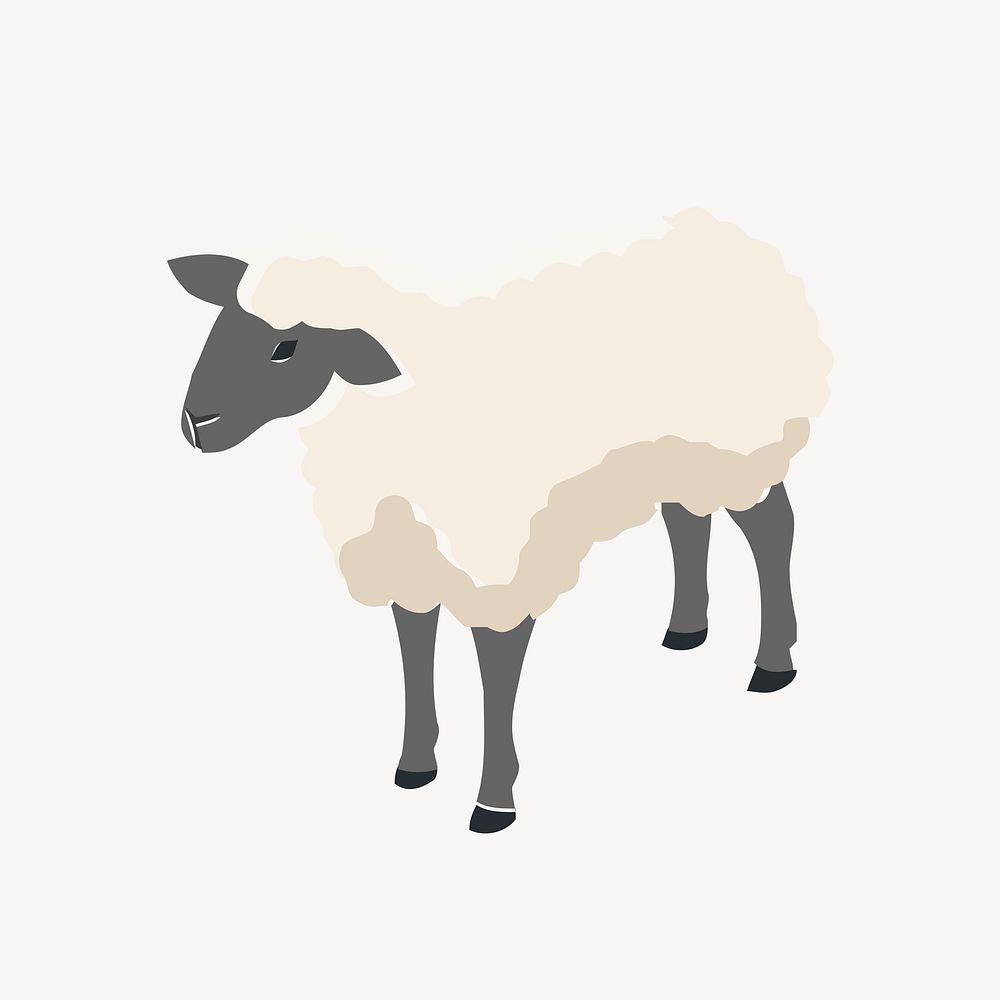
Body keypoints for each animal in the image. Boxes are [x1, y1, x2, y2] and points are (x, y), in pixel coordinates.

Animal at [170, 208, 832, 833]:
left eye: (285, 346)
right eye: (220, 322)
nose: (194, 425)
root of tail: (728, 236)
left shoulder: (496, 555)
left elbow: (496, 672)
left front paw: (493, 800)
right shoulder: (408, 552)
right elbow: (415, 649)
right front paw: (416, 766)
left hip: (742, 445)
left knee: (773, 528)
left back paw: (773, 662)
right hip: (675, 454)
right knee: (685, 519)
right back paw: (686, 628)